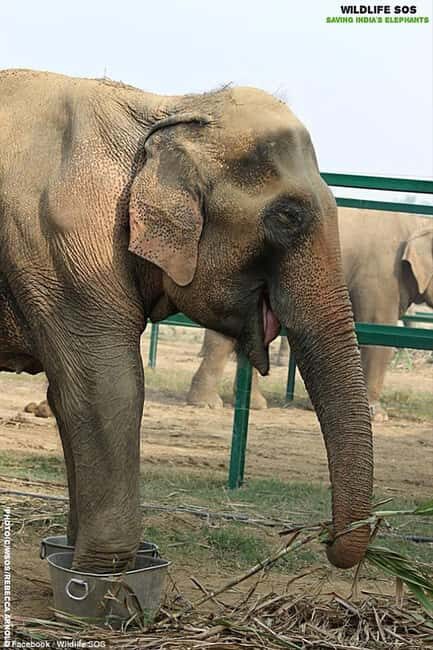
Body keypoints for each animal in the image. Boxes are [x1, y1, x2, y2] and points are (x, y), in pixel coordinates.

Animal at [0, 68, 373, 572]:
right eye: (288, 217)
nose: (327, 538)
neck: (165, 109)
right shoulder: (62, 240)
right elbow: (107, 387)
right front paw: (104, 569)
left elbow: (68, 393)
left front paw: (72, 553)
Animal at [187, 209, 433, 419]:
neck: (418, 223)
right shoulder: (381, 275)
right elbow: (379, 333)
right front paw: (378, 415)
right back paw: (207, 404)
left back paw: (255, 404)